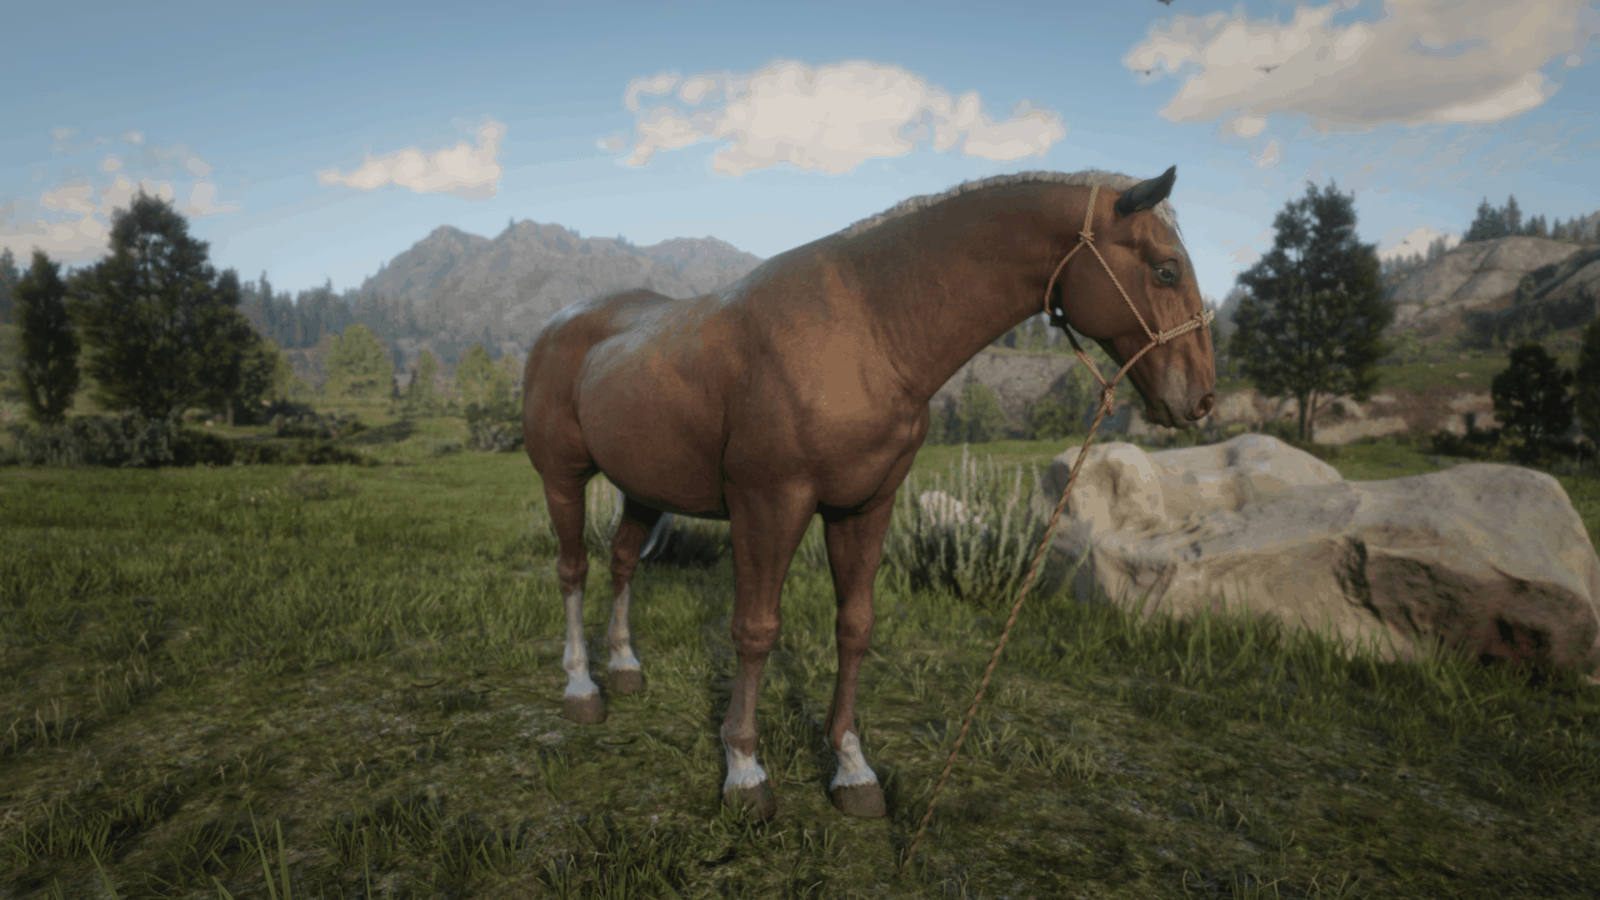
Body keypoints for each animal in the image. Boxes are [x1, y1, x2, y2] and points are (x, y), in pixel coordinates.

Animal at [521, 166, 1216, 821]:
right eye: (1166, 268)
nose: (1202, 397)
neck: (870, 332)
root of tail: (556, 327)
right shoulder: (771, 502)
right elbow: (755, 630)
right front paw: (744, 770)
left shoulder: (865, 507)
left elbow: (855, 627)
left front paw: (851, 769)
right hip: (563, 480)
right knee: (572, 569)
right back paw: (582, 689)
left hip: (643, 487)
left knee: (620, 562)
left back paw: (624, 668)